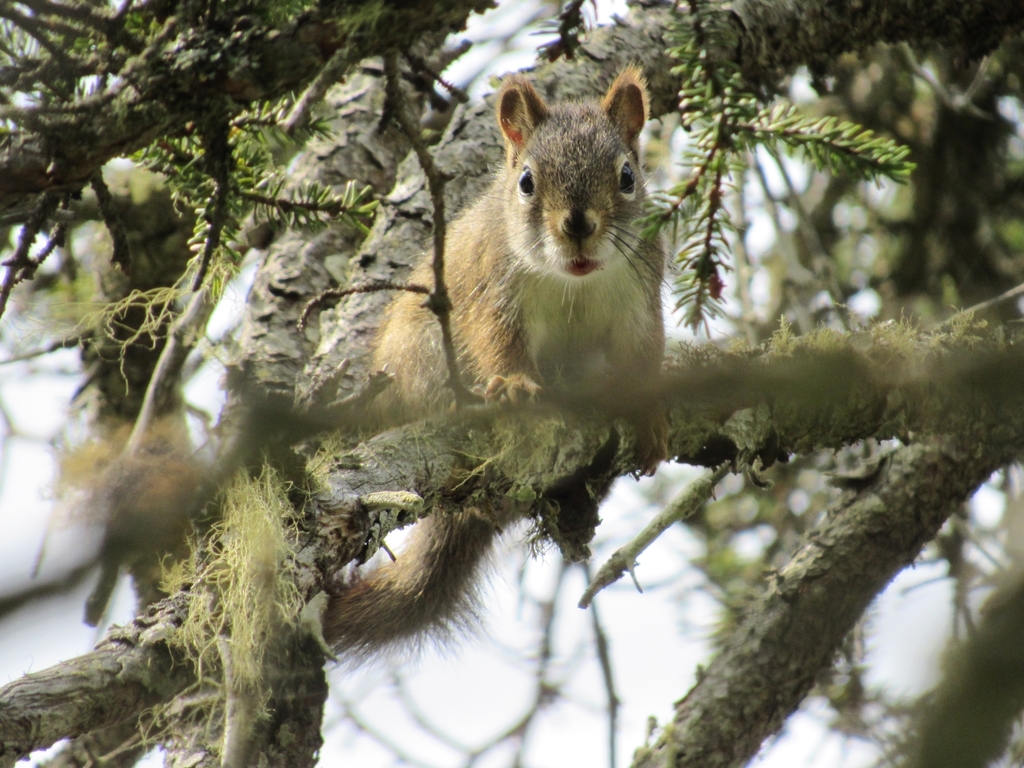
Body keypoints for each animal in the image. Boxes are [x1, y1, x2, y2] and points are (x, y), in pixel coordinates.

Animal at [324, 66, 667, 656]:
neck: (575, 283)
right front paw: (513, 386)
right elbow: (496, 339)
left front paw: (649, 414)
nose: (578, 226)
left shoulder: (642, 294)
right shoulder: (492, 284)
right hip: (424, 357)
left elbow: (645, 353)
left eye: (627, 176)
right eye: (526, 181)